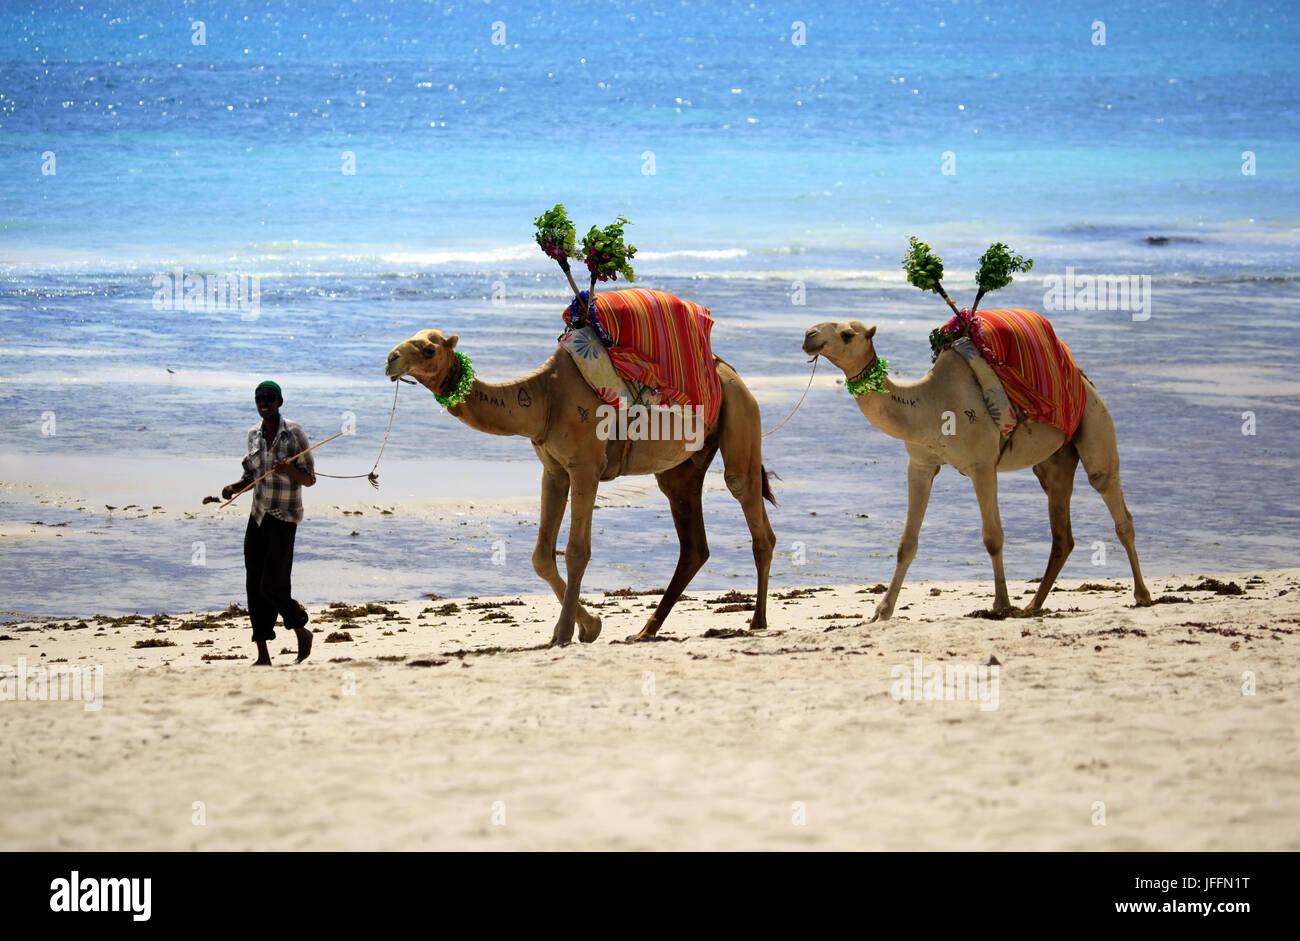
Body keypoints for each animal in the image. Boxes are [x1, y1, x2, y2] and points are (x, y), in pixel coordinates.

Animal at [385, 326, 776, 645]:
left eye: (428, 349)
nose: (391, 360)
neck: (543, 398)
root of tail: (731, 374)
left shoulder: (586, 467)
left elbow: (576, 552)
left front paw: (565, 632)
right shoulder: (554, 470)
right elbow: (541, 556)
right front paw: (590, 626)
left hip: (740, 413)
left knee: (746, 498)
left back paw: (757, 620)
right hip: (684, 467)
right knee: (693, 540)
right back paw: (646, 630)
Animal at [802, 319, 1150, 619]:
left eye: (848, 334)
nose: (809, 335)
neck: (929, 406)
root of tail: (1084, 379)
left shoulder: (982, 466)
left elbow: (993, 537)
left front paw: (1001, 603)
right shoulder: (920, 464)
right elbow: (906, 543)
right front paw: (882, 611)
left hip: (1095, 420)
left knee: (1115, 504)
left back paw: (1142, 595)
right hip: (1054, 462)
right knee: (1062, 533)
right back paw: (1033, 605)